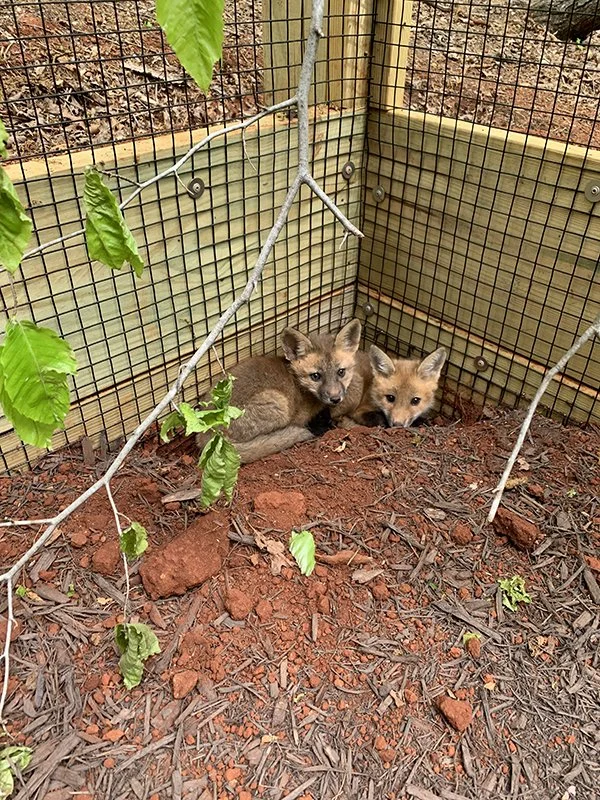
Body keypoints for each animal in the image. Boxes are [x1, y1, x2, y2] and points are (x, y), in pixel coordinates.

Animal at [196, 319, 363, 463]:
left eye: (341, 372)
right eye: (315, 376)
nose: (335, 399)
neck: (298, 384)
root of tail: (210, 433)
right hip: (279, 404)